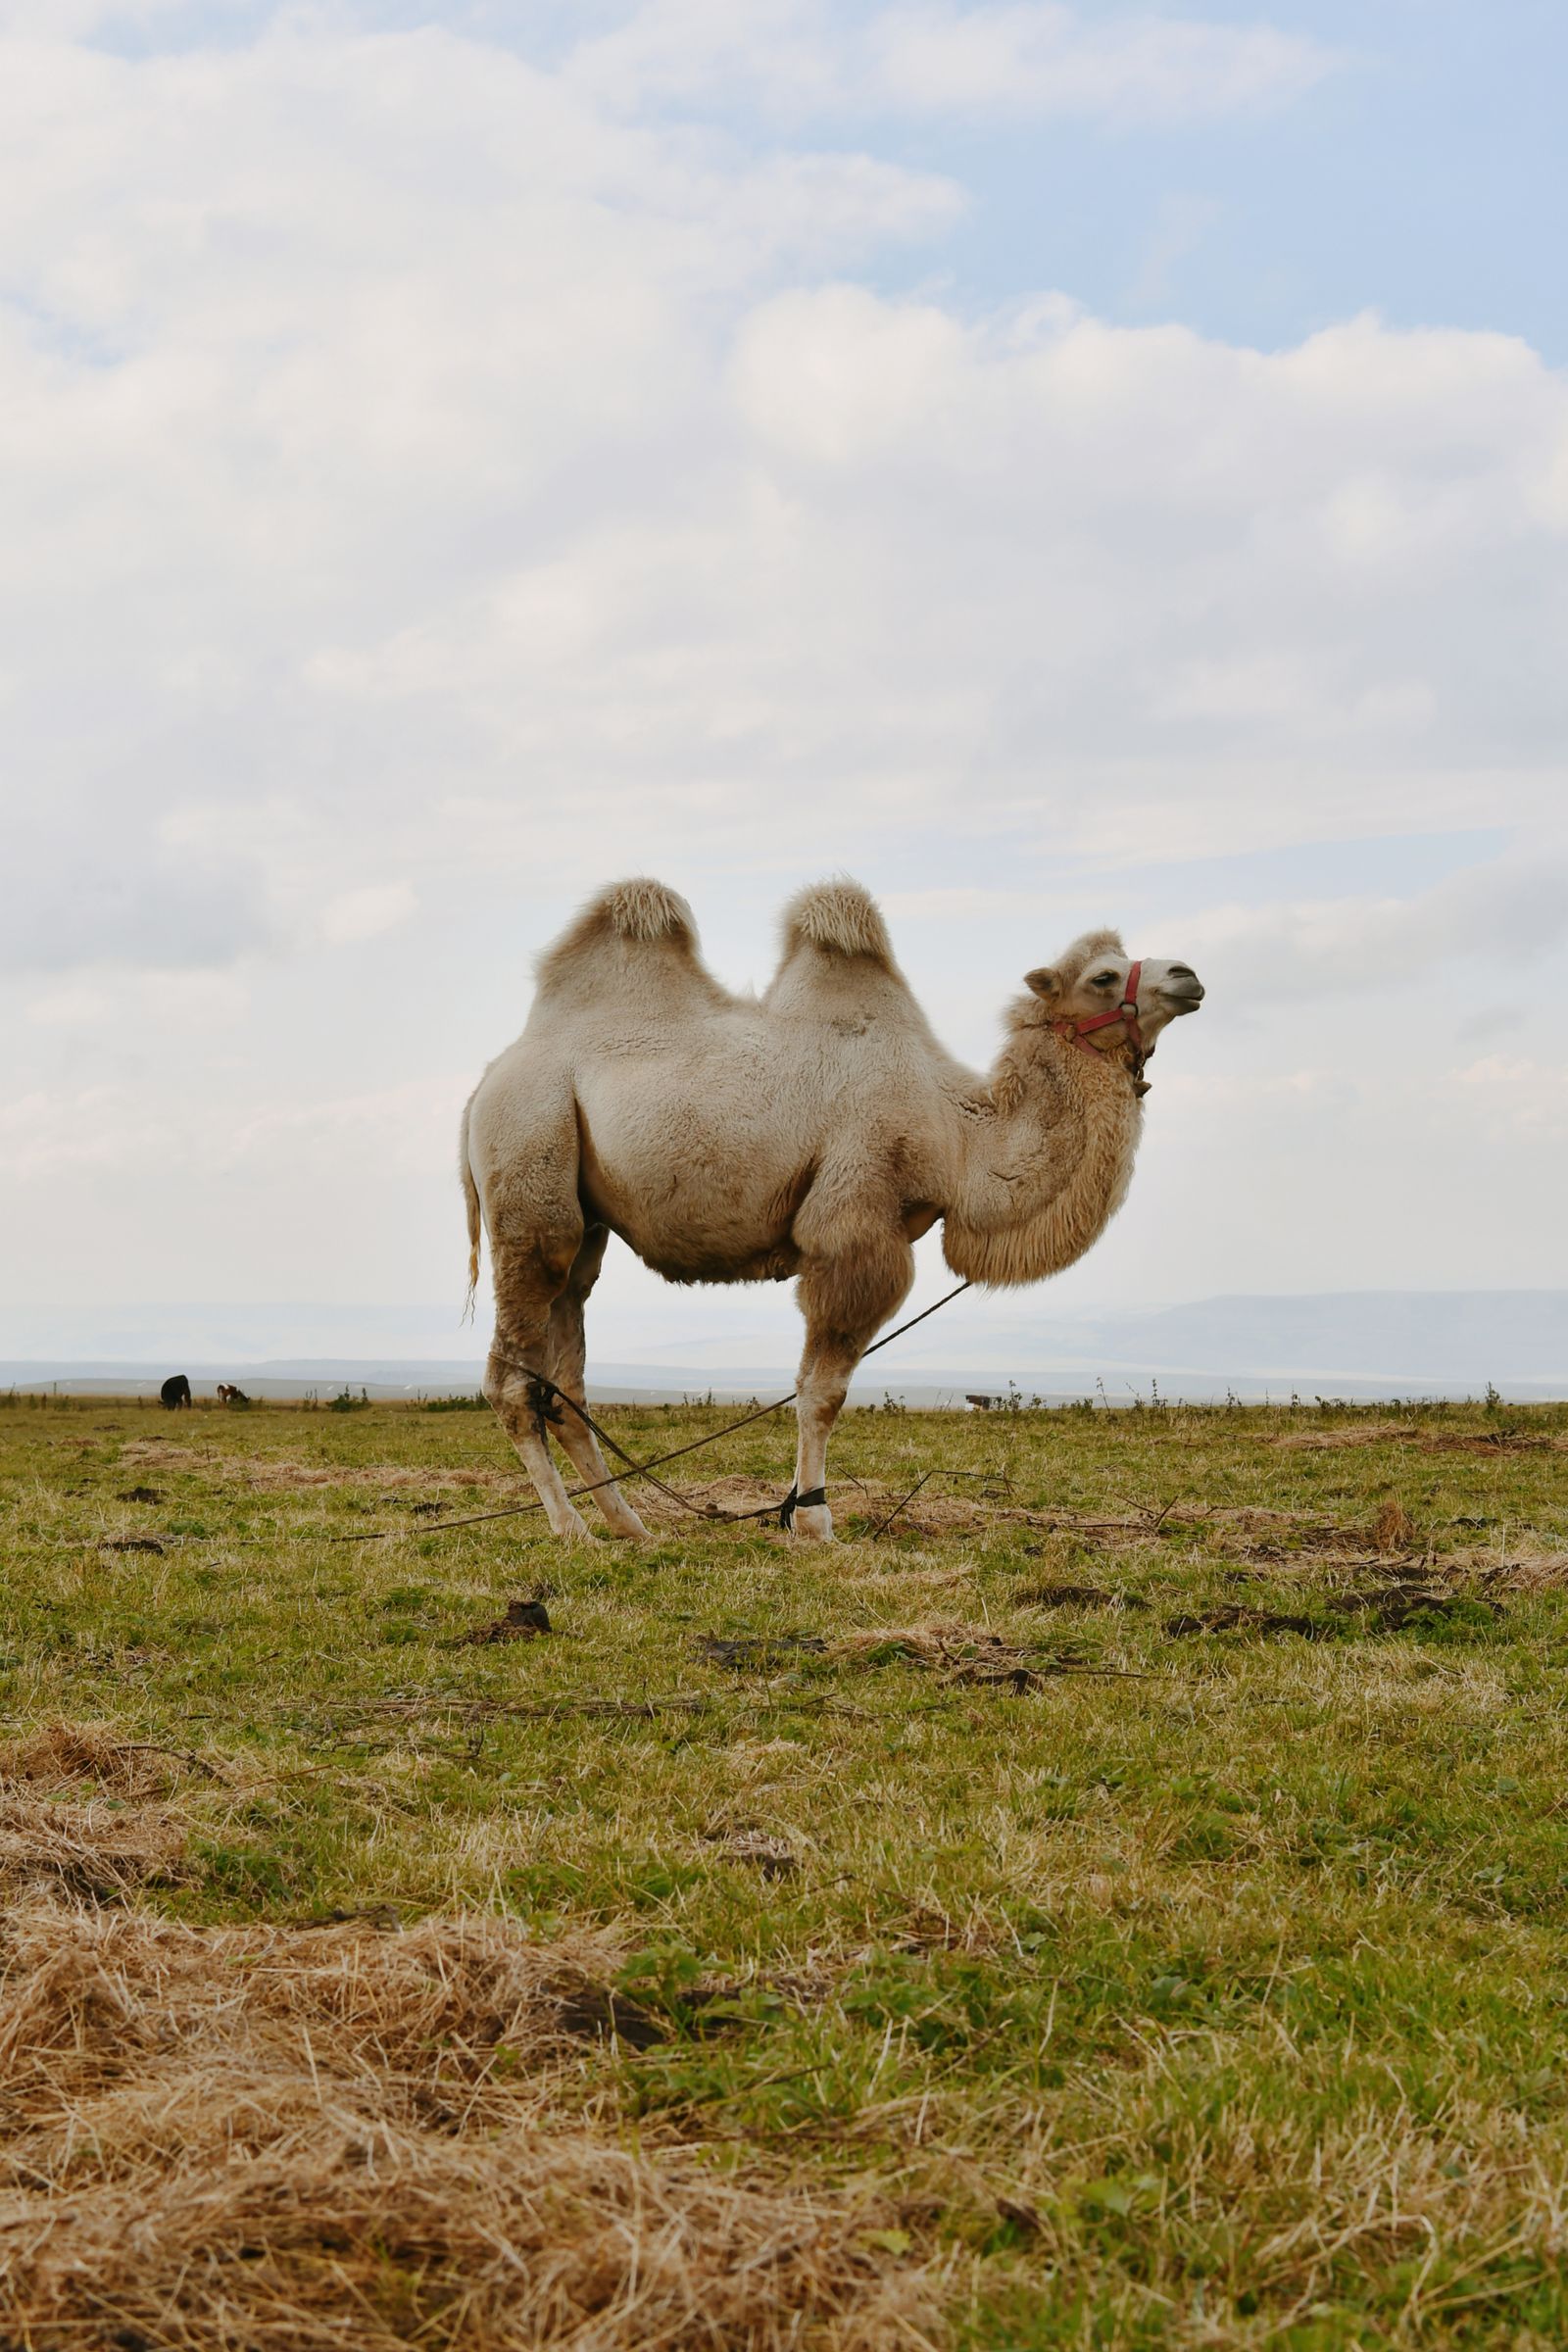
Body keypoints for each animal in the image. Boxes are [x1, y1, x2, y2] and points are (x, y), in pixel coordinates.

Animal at [460, 879, 1204, 1541]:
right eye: (1105, 976)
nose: (1190, 976)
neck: (957, 1134)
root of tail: (486, 1082)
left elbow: (813, 1387)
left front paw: (795, 1514)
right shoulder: (856, 1227)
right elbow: (822, 1393)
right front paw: (815, 1521)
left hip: (584, 1219)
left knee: (566, 1373)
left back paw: (631, 1526)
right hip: (529, 1158)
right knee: (512, 1378)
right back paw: (572, 1529)